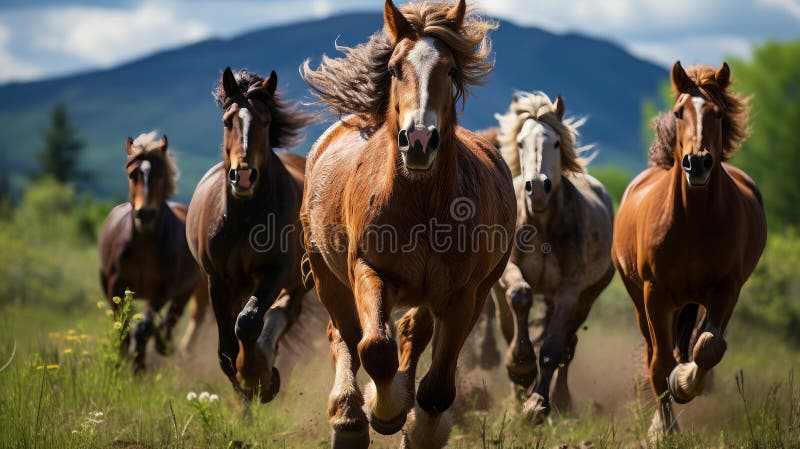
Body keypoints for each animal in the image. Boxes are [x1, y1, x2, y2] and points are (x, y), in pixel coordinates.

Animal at [98, 132, 208, 372]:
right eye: (133, 175)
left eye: (159, 174)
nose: (145, 214)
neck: (145, 246)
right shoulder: (115, 286)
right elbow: (122, 326)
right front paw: (121, 363)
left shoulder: (162, 290)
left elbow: (143, 327)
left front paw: (138, 366)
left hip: (184, 291)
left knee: (172, 320)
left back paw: (162, 344)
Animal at [185, 68, 313, 402]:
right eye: (227, 121)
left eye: (266, 121)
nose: (243, 176)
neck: (243, 219)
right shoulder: (217, 282)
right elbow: (226, 351)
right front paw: (247, 385)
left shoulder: (275, 272)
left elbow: (249, 321)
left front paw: (258, 377)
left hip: (300, 278)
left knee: (284, 312)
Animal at [300, 1, 515, 447]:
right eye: (396, 68)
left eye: (449, 69)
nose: (418, 140)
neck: (422, 204)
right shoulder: (367, 270)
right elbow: (374, 349)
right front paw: (385, 411)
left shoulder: (463, 294)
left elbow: (438, 388)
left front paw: (418, 428)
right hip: (327, 273)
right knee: (343, 335)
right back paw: (348, 417)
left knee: (413, 333)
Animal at [475, 92, 615, 422]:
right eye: (521, 143)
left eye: (555, 143)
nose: (538, 188)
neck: (541, 225)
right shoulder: (510, 272)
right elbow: (521, 296)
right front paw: (522, 367)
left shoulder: (569, 290)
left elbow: (552, 348)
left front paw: (537, 404)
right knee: (508, 326)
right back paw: (517, 388)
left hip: (587, 296)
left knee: (568, 345)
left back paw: (559, 399)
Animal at [612, 61, 767, 438]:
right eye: (679, 112)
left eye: (719, 113)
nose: (697, 163)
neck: (692, 222)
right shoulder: (654, 293)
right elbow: (659, 364)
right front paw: (662, 432)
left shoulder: (726, 288)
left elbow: (708, 347)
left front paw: (685, 381)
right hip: (640, 299)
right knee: (654, 353)